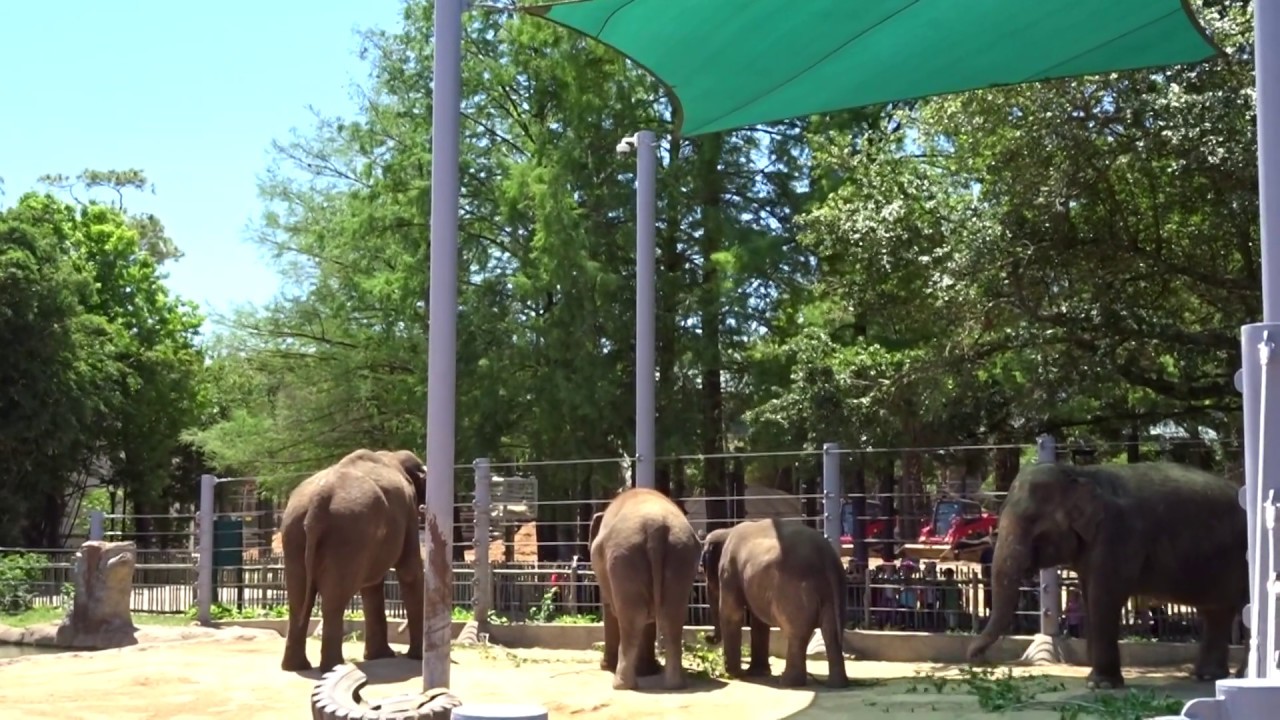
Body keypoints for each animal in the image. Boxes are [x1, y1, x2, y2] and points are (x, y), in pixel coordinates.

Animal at [279, 448, 427, 673]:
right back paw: (334, 667)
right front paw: (416, 658)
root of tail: (319, 499)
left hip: (294, 530)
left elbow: (372, 585)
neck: (392, 456)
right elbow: (409, 570)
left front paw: (380, 656)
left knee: (298, 598)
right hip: (348, 532)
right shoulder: (408, 510)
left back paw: (296, 667)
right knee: (334, 600)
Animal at [588, 487, 702, 690]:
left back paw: (622, 685)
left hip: (624, 557)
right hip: (681, 554)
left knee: (632, 619)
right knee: (672, 618)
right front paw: (649, 670)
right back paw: (675, 685)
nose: (602, 664)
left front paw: (608, 666)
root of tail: (656, 527)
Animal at [702, 519, 849, 688]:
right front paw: (757, 673)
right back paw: (837, 684)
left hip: (793, 593)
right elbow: (758, 621)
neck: (726, 531)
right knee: (830, 631)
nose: (707, 637)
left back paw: (787, 682)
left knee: (797, 633)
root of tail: (827, 556)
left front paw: (734, 674)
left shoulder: (729, 570)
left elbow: (732, 613)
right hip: (834, 591)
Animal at [966, 461, 1247, 689]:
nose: (978, 660)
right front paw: (1097, 678)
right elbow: (1089, 597)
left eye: (1032, 520)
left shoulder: (1117, 533)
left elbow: (1105, 596)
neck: (1080, 473)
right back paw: (1208, 677)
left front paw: (1100, 685)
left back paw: (1240, 677)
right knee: (1217, 612)